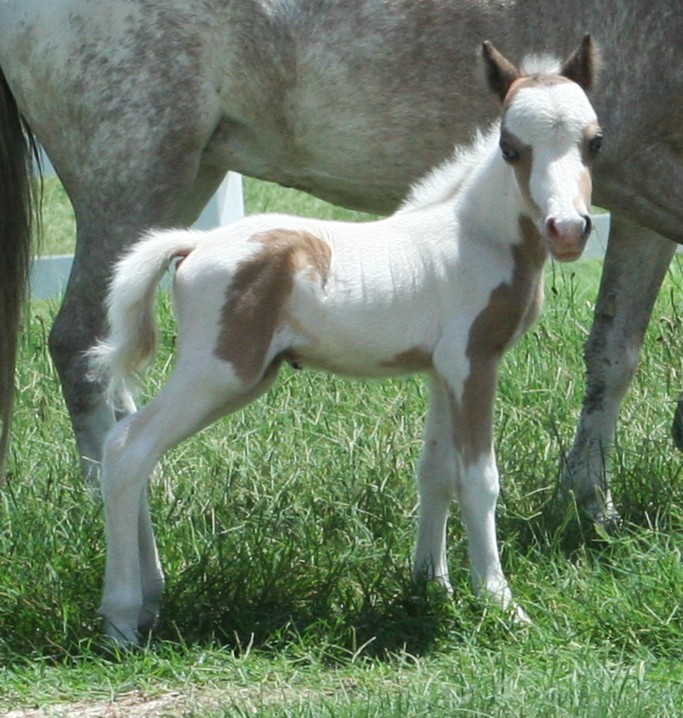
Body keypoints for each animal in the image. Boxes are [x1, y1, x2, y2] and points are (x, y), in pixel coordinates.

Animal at [0, 2, 681, 526]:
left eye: (593, 142)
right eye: (511, 148)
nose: (567, 230)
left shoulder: (634, 204)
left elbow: (614, 351)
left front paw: (591, 503)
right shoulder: (648, 176)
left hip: (184, 181)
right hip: (132, 179)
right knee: (79, 343)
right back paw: (115, 500)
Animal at [88, 38, 601, 645]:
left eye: (594, 141)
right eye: (511, 148)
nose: (567, 230)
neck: (477, 238)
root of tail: (194, 244)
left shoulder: (441, 371)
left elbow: (435, 473)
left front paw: (432, 587)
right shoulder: (473, 363)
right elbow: (479, 479)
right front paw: (500, 603)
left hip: (239, 378)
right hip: (217, 374)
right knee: (126, 450)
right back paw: (123, 620)